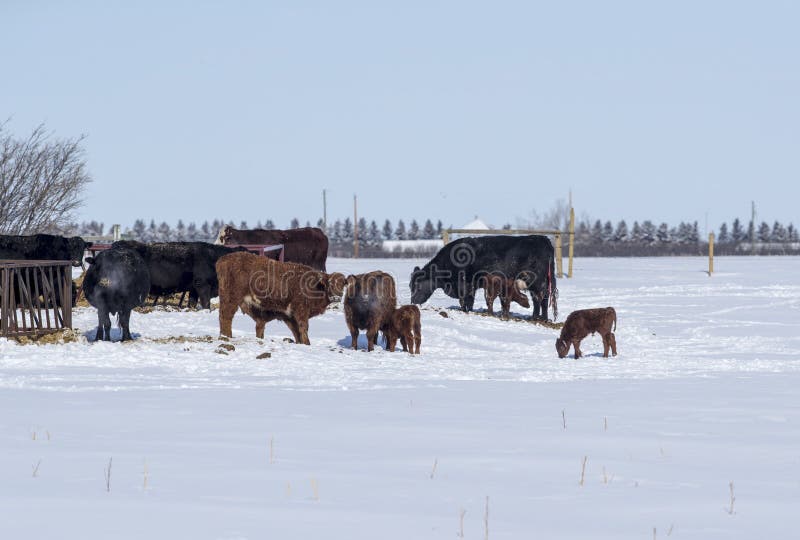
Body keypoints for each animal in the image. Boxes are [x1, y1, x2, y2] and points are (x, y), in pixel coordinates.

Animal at [215, 251, 345, 344]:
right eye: (329, 283)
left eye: (343, 284)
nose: (337, 297)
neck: (315, 284)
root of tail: (222, 260)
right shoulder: (301, 311)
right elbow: (303, 327)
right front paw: (307, 343)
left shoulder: (289, 316)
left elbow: (296, 331)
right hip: (231, 299)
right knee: (226, 316)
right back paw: (227, 336)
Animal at [410, 235, 558, 321]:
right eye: (410, 285)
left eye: (417, 285)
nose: (413, 302)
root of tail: (544, 239)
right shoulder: (472, 285)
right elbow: (470, 300)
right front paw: (470, 310)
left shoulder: (464, 283)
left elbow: (464, 300)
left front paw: (465, 311)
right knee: (542, 299)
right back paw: (541, 318)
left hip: (537, 281)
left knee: (539, 299)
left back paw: (537, 318)